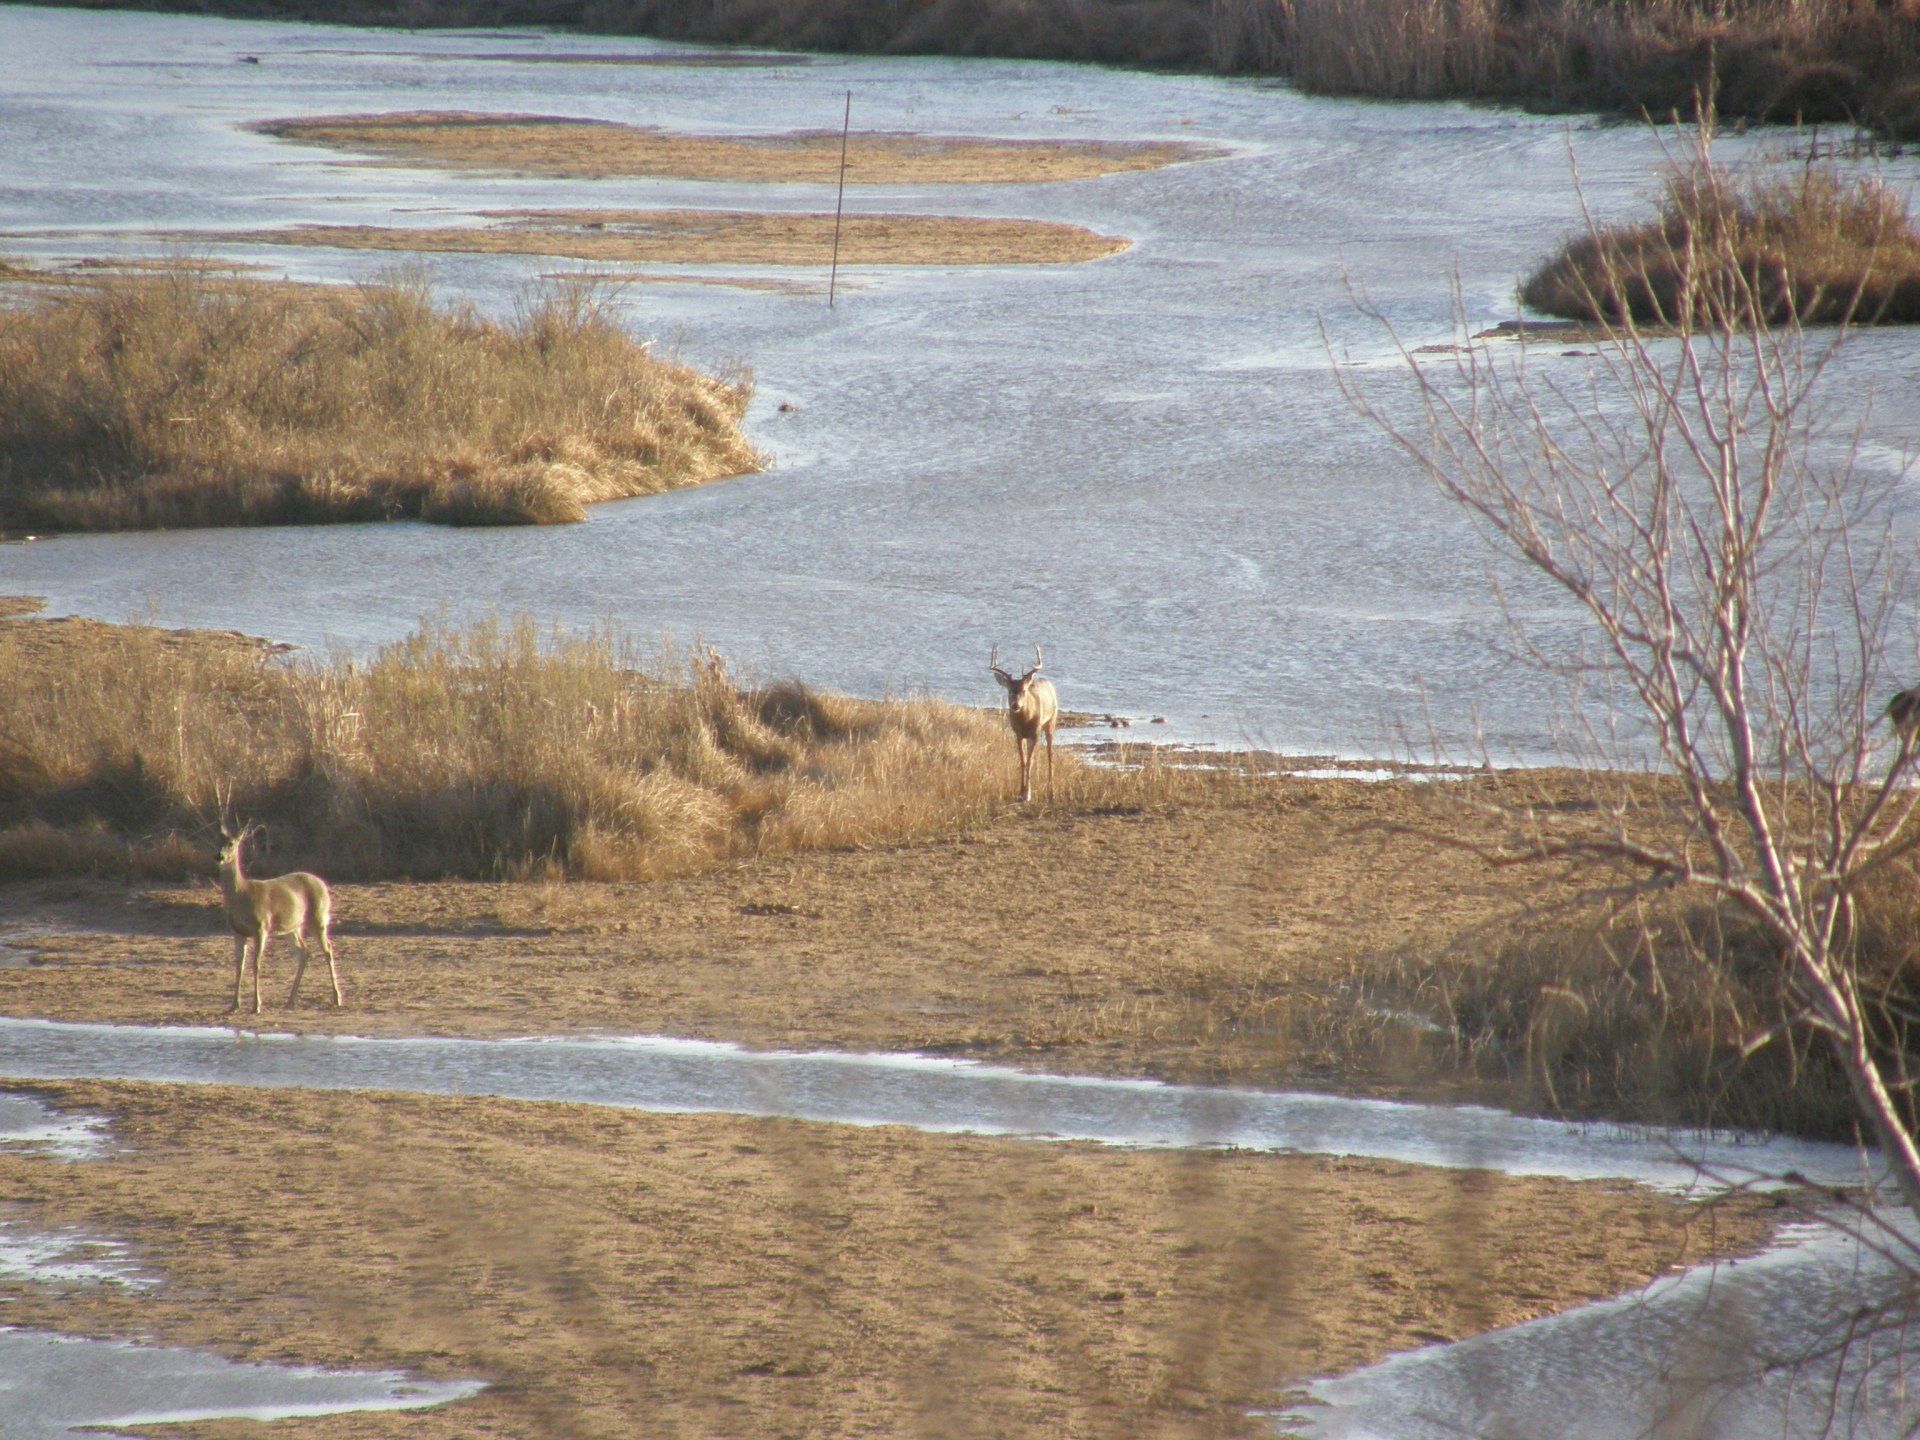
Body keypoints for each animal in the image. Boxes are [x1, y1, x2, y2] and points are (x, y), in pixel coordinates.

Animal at [215, 803, 342, 1014]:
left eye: (232, 843)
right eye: (216, 841)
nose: (219, 856)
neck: (242, 894)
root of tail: (323, 885)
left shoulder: (261, 928)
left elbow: (256, 964)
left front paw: (256, 1005)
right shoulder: (237, 931)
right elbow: (239, 966)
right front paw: (234, 1005)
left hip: (318, 918)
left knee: (328, 949)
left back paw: (336, 998)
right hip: (292, 927)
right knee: (305, 952)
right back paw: (290, 1001)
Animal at [989, 644, 1059, 804]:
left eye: (1024, 690)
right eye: (1009, 690)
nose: (1016, 705)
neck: (1026, 720)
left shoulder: (1035, 733)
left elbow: (1030, 761)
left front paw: (1027, 795)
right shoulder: (1018, 734)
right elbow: (1023, 761)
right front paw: (1021, 792)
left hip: (1051, 722)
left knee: (1050, 754)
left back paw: (1052, 791)